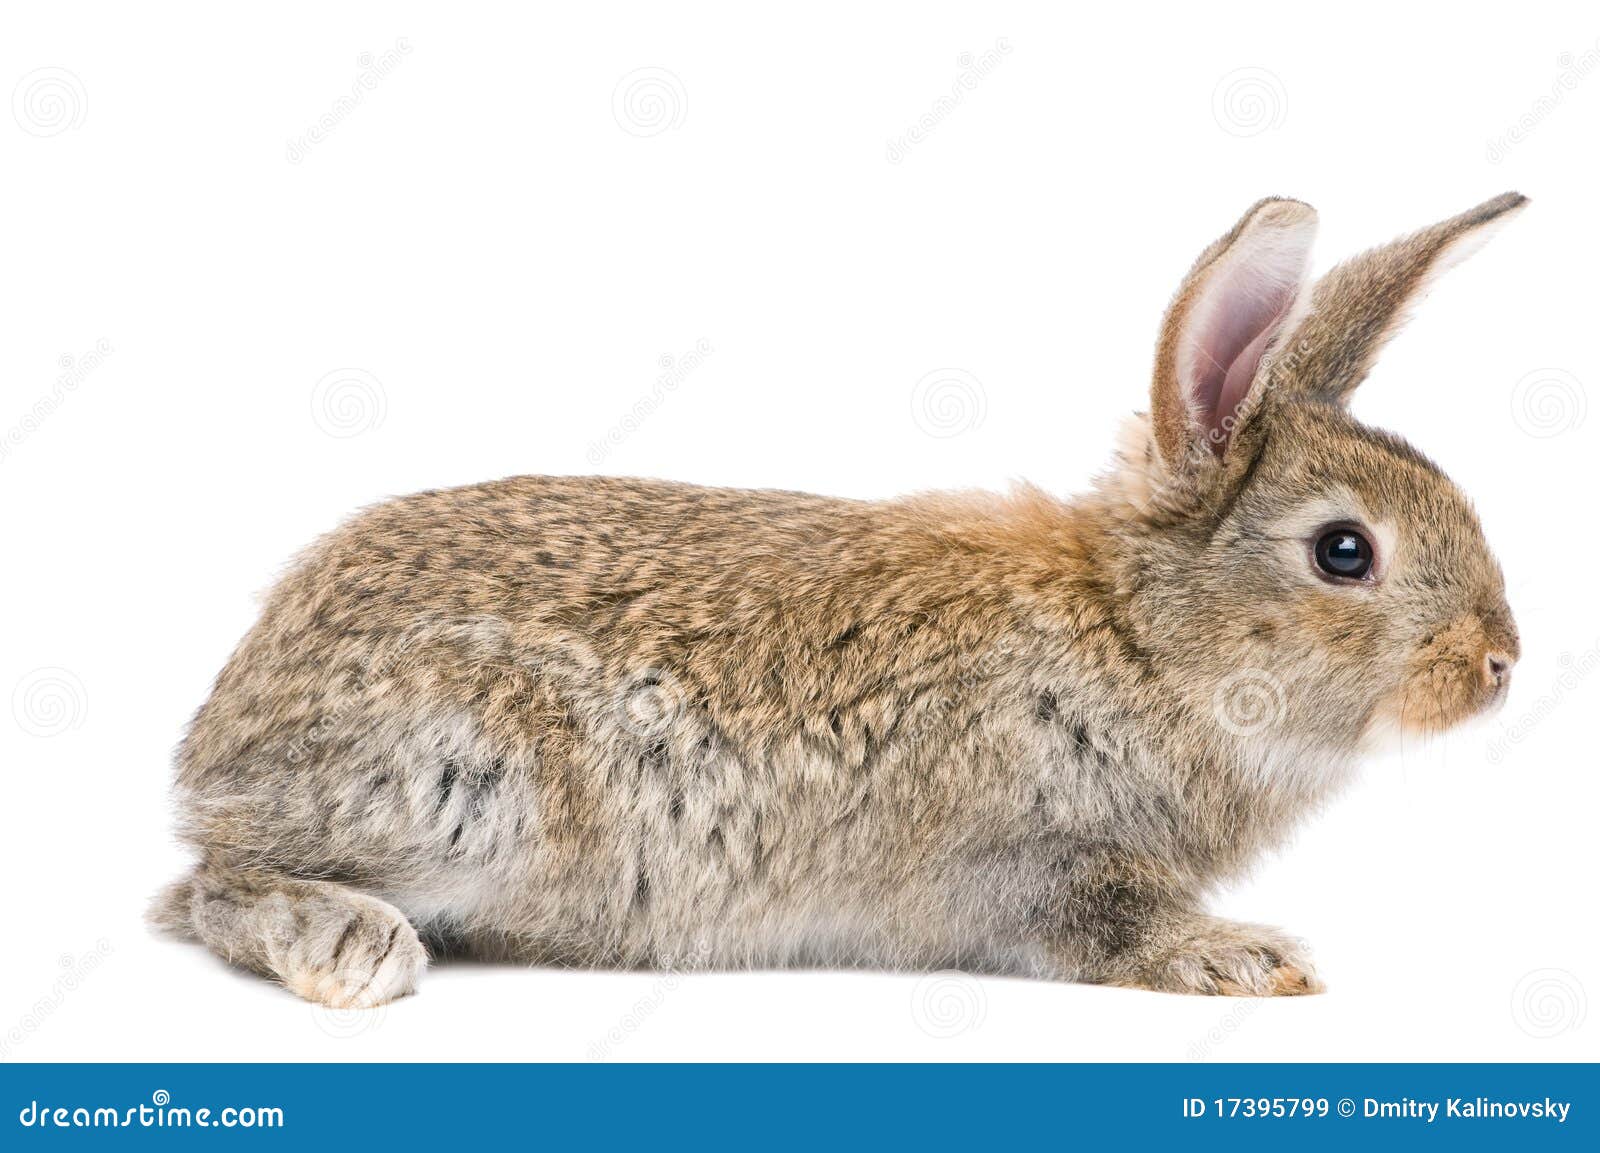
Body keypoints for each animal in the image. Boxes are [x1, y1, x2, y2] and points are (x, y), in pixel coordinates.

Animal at [151, 193, 1526, 1007]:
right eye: (1343, 552)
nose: (1499, 662)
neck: (1141, 639)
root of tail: (221, 738)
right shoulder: (1029, 856)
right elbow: (1102, 920)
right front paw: (1245, 956)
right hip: (465, 792)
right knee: (207, 887)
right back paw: (350, 948)